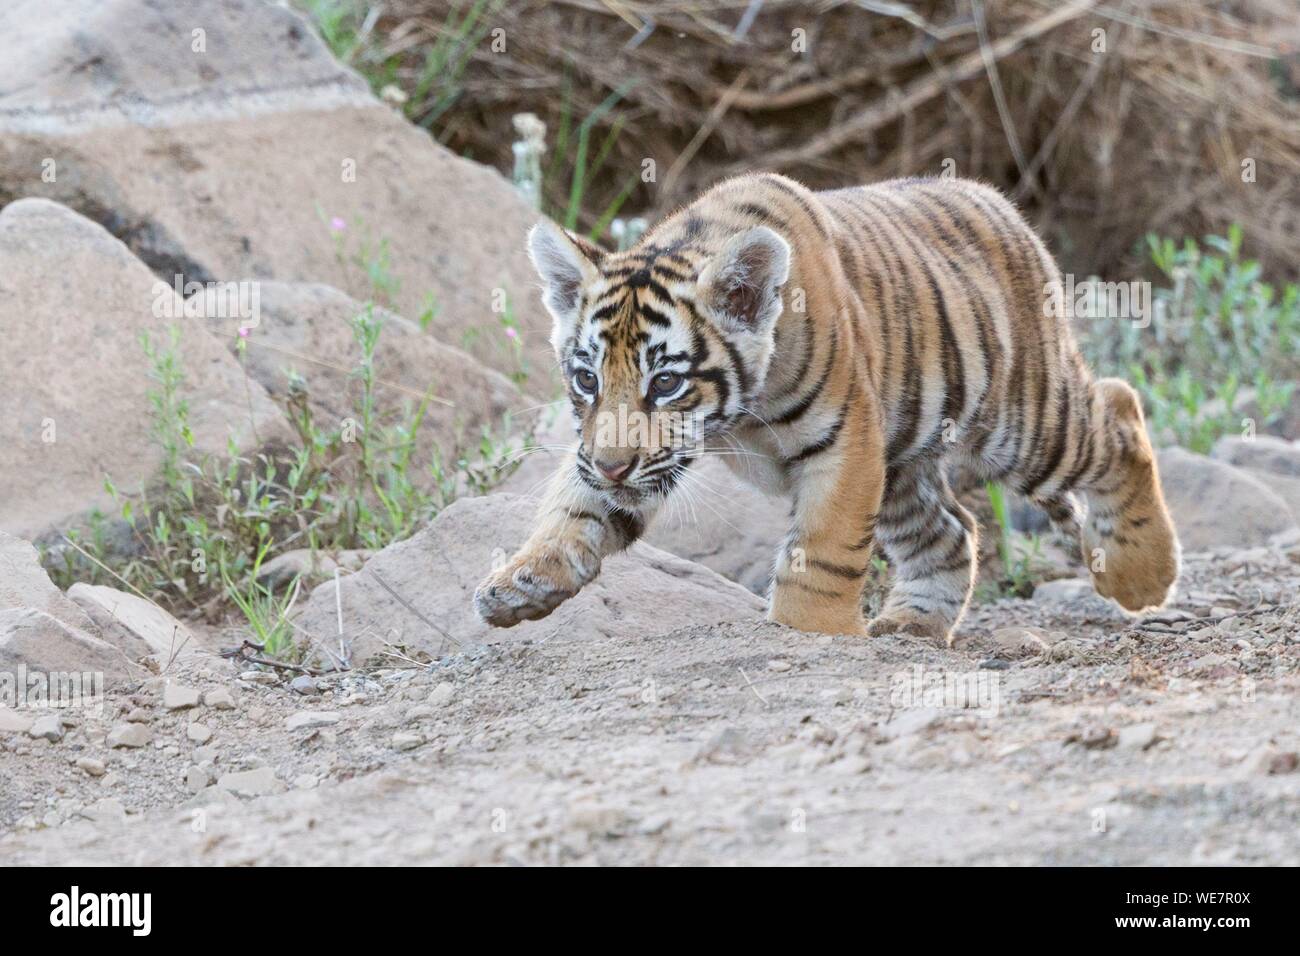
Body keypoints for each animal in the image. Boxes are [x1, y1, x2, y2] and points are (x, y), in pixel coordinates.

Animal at [474, 172, 1180, 642]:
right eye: (586, 379)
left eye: (667, 384)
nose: (613, 468)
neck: (738, 416)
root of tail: (1005, 206)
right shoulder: (628, 453)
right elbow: (573, 506)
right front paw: (519, 584)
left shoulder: (844, 444)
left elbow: (823, 550)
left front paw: (810, 633)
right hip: (907, 464)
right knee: (953, 530)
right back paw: (911, 626)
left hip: (1021, 422)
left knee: (1118, 413)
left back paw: (1142, 577)